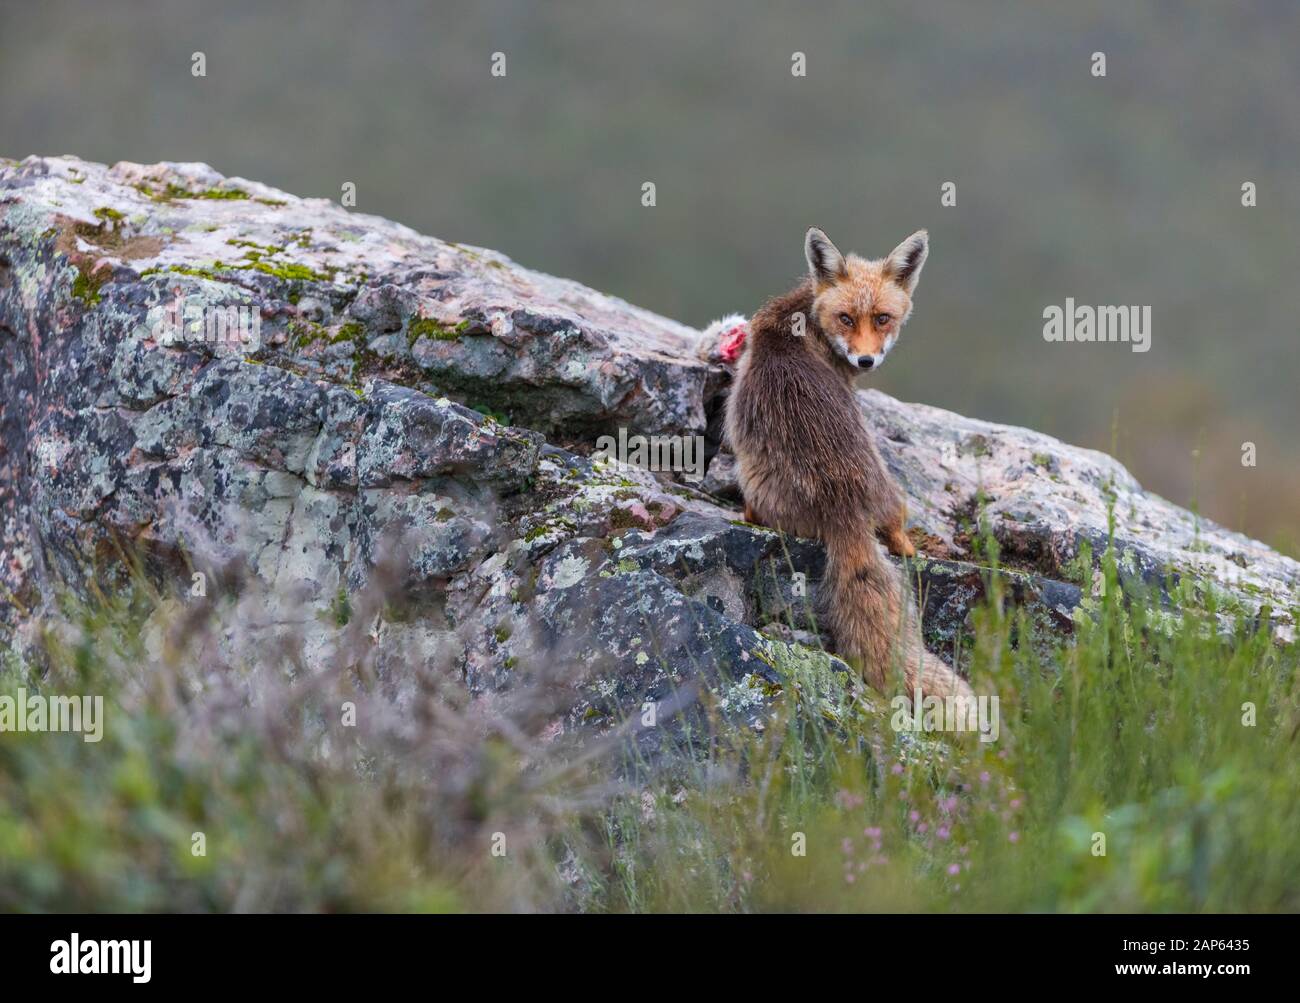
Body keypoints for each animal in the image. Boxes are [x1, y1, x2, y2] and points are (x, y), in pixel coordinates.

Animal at [721, 226, 974, 702]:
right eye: (845, 319)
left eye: (882, 318)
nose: (866, 360)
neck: (802, 317)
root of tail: (843, 504)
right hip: (887, 489)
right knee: (897, 538)